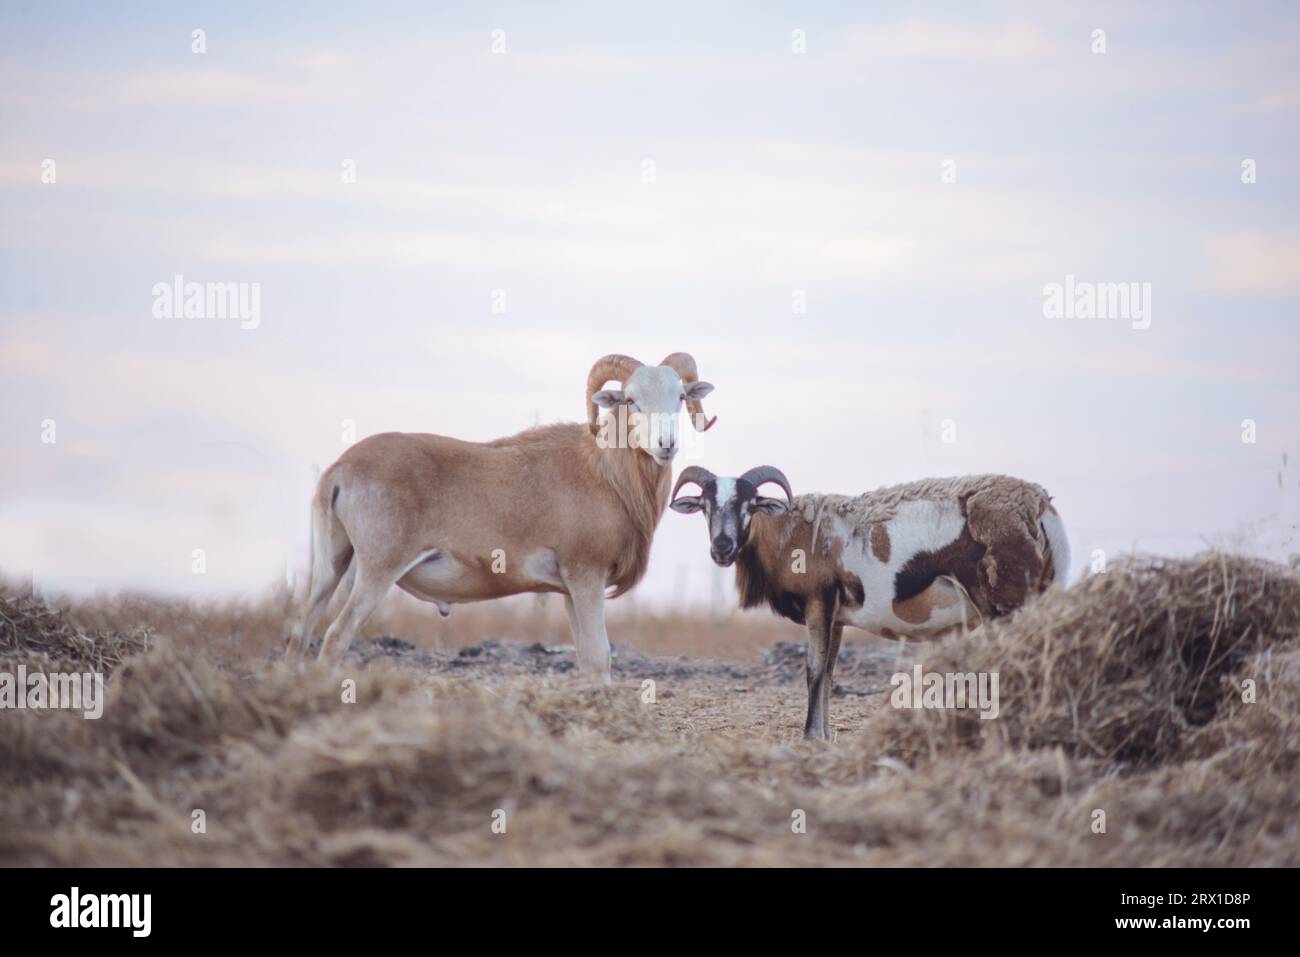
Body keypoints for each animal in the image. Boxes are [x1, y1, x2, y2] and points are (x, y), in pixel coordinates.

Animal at [289, 352, 716, 674]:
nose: (666, 444)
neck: (605, 473)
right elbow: (599, 658)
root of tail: (338, 472)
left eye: (679, 396)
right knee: (335, 637)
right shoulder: (586, 578)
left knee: (301, 632)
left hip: (331, 567)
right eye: (631, 400)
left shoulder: (570, 592)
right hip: (377, 571)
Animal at [670, 466, 1069, 738]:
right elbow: (829, 672)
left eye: (750, 505)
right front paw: (824, 734)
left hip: (1005, 605)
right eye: (705, 505)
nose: (722, 548)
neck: (795, 533)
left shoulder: (819, 604)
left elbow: (813, 669)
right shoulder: (837, 618)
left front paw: (810, 735)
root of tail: (1038, 505)